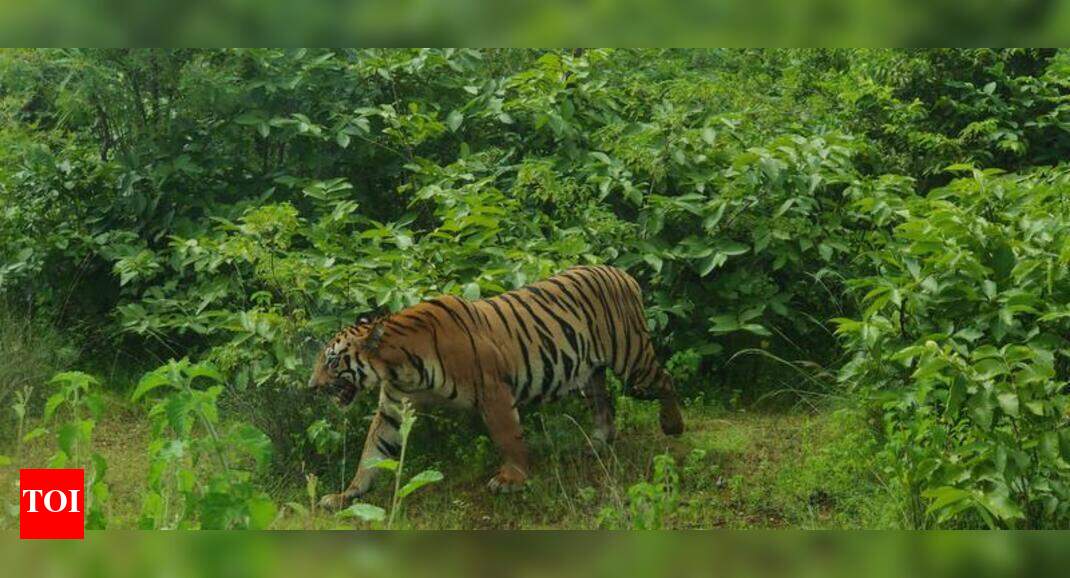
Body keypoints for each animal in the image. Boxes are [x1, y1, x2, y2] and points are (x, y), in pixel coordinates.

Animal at [307, 265, 684, 510]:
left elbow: (508, 438)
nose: (311, 386)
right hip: (591, 372)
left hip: (632, 357)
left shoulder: (494, 392)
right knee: (602, 402)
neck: (400, 367)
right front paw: (346, 495)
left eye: (331, 361)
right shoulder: (394, 409)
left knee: (665, 379)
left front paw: (511, 480)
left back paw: (673, 425)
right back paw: (597, 442)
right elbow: (371, 453)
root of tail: (622, 273)